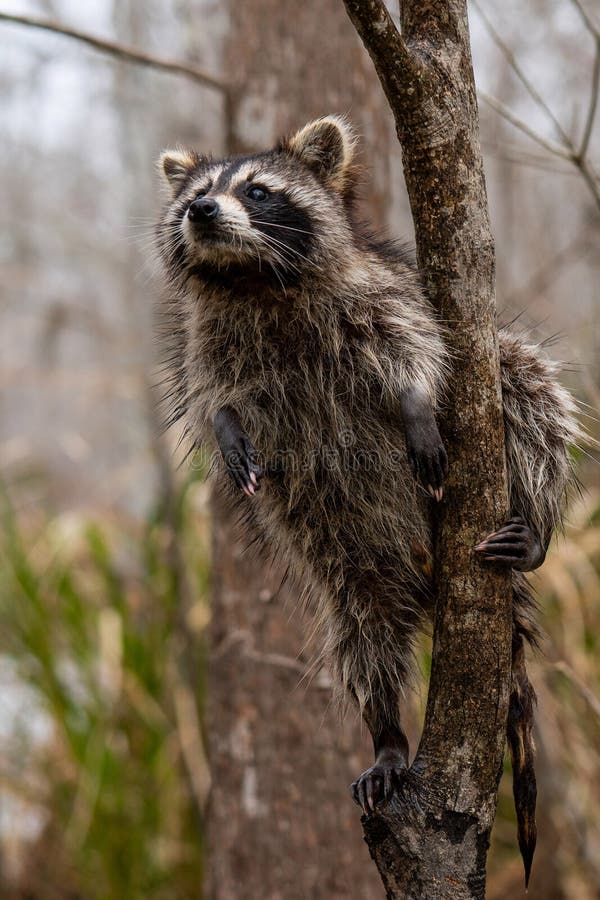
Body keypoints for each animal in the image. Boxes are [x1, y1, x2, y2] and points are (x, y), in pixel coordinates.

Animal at [155, 116, 581, 883]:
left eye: (256, 191)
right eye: (197, 193)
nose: (201, 211)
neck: (251, 278)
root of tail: (424, 573)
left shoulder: (380, 294)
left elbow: (418, 351)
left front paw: (414, 406)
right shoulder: (209, 339)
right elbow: (217, 397)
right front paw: (230, 430)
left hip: (501, 414)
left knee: (527, 384)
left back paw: (534, 521)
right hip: (349, 559)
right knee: (364, 636)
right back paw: (385, 733)